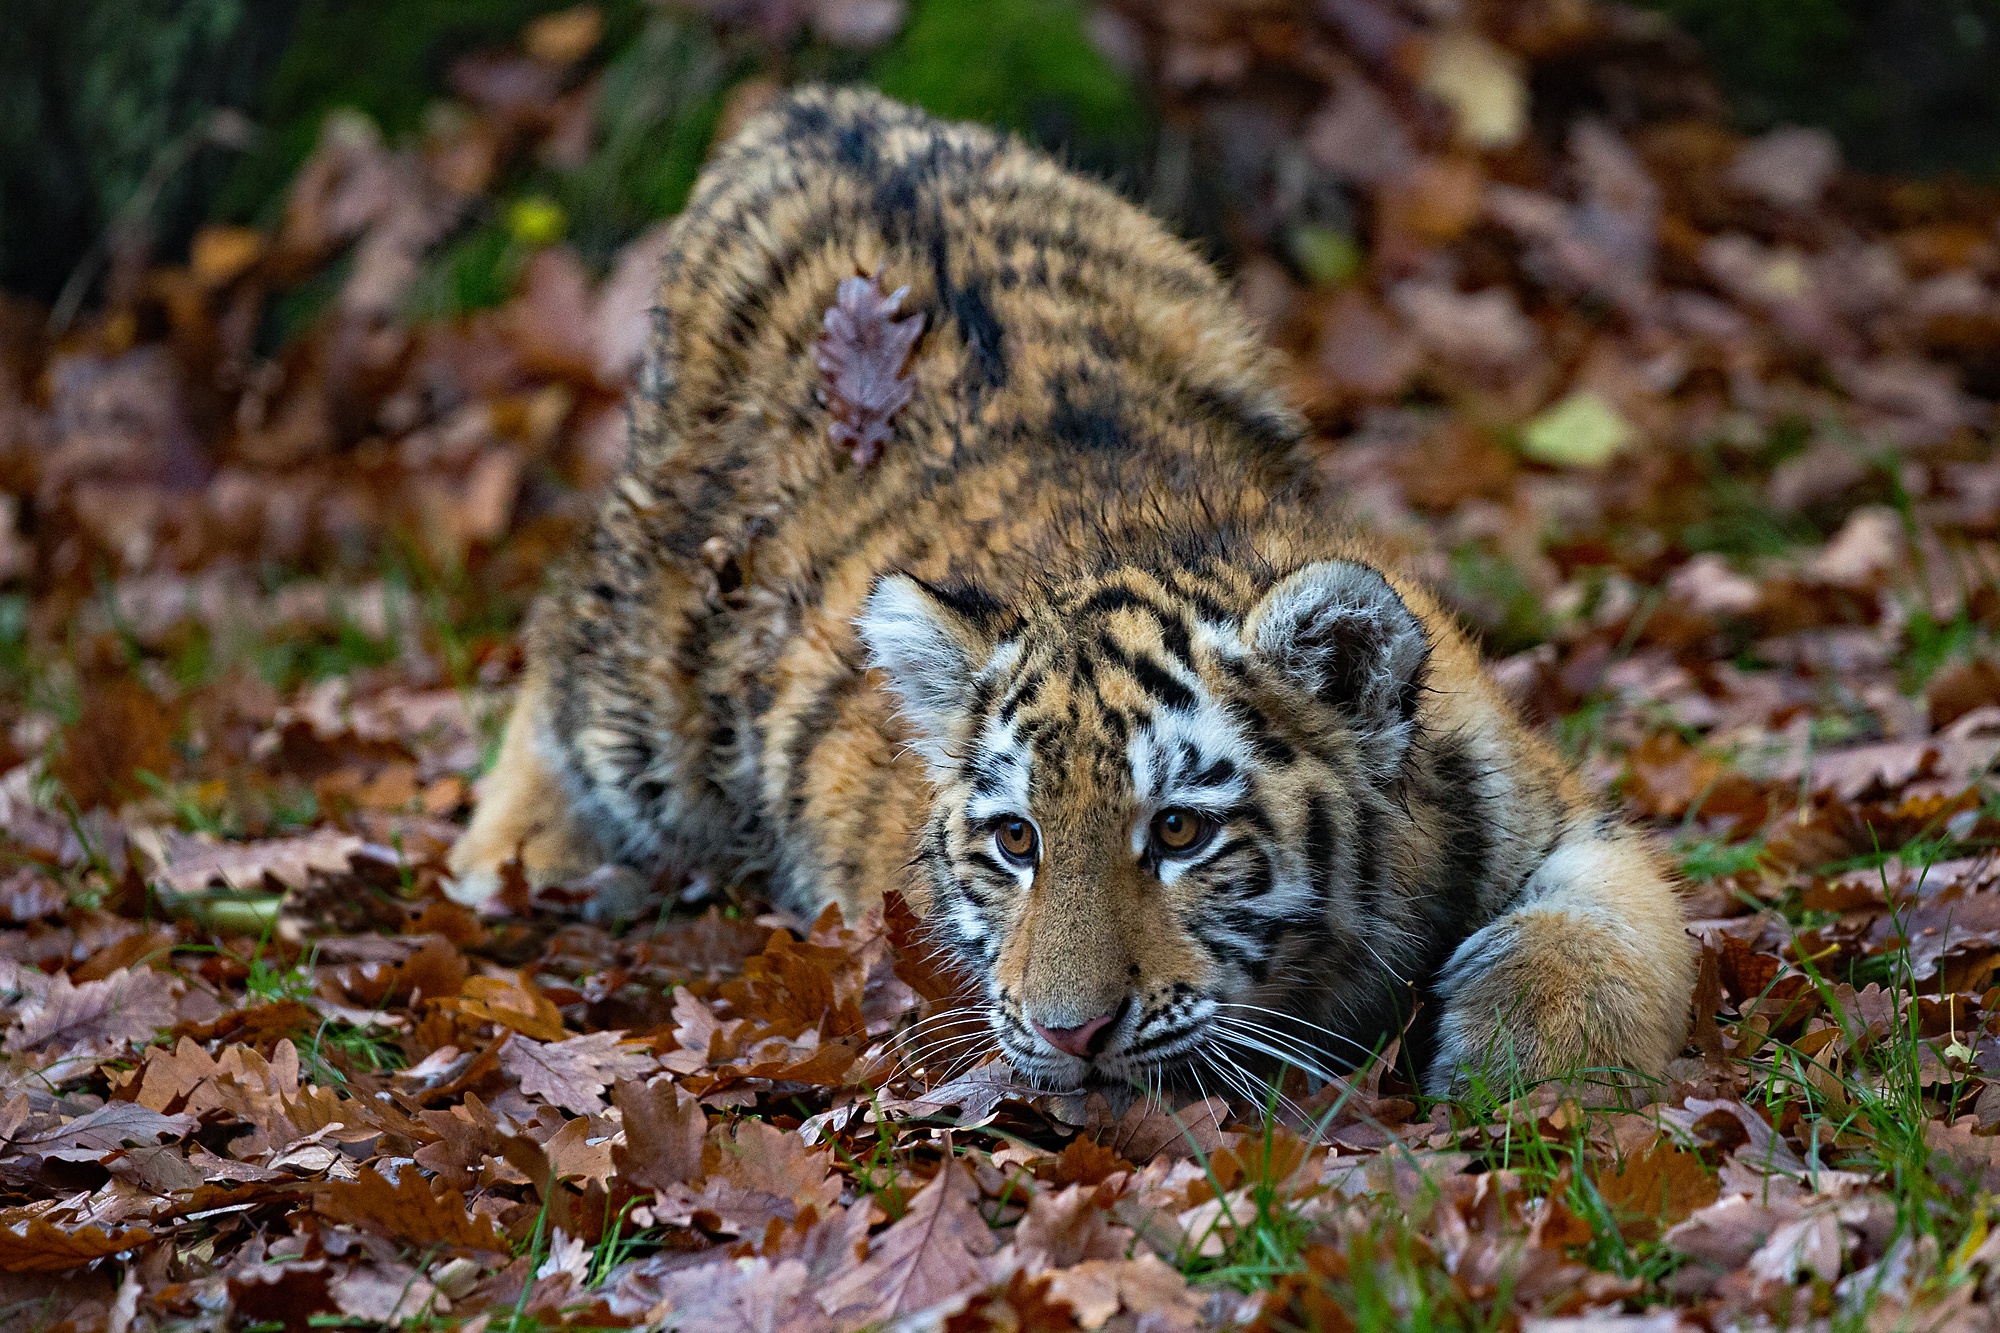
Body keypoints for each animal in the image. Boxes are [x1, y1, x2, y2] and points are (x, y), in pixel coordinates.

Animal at [447, 86, 1695, 1096]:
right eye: (1015, 840)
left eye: (1180, 830)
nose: (1067, 1034)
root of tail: (809, 111)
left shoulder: (1544, 806)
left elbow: (1628, 921)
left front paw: (1532, 1069)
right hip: (646, 682)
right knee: (551, 674)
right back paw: (510, 860)